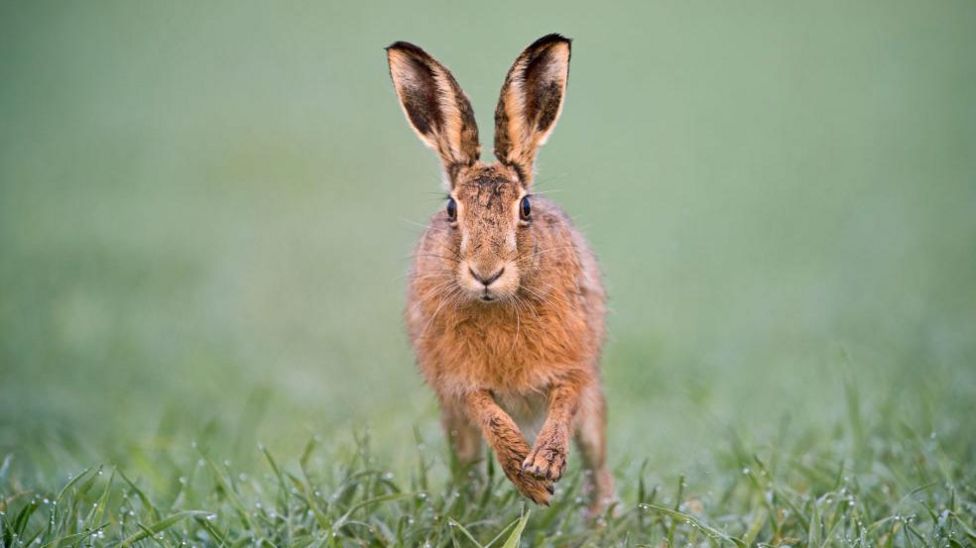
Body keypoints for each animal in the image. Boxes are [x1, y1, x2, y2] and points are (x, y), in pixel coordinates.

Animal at [386, 34, 613, 514]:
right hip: (456, 429)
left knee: (597, 467)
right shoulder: (459, 382)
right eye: (451, 209)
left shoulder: (573, 366)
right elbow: (486, 411)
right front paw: (528, 478)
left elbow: (564, 399)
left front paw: (544, 463)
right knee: (468, 465)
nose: (486, 272)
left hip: (594, 415)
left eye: (525, 207)